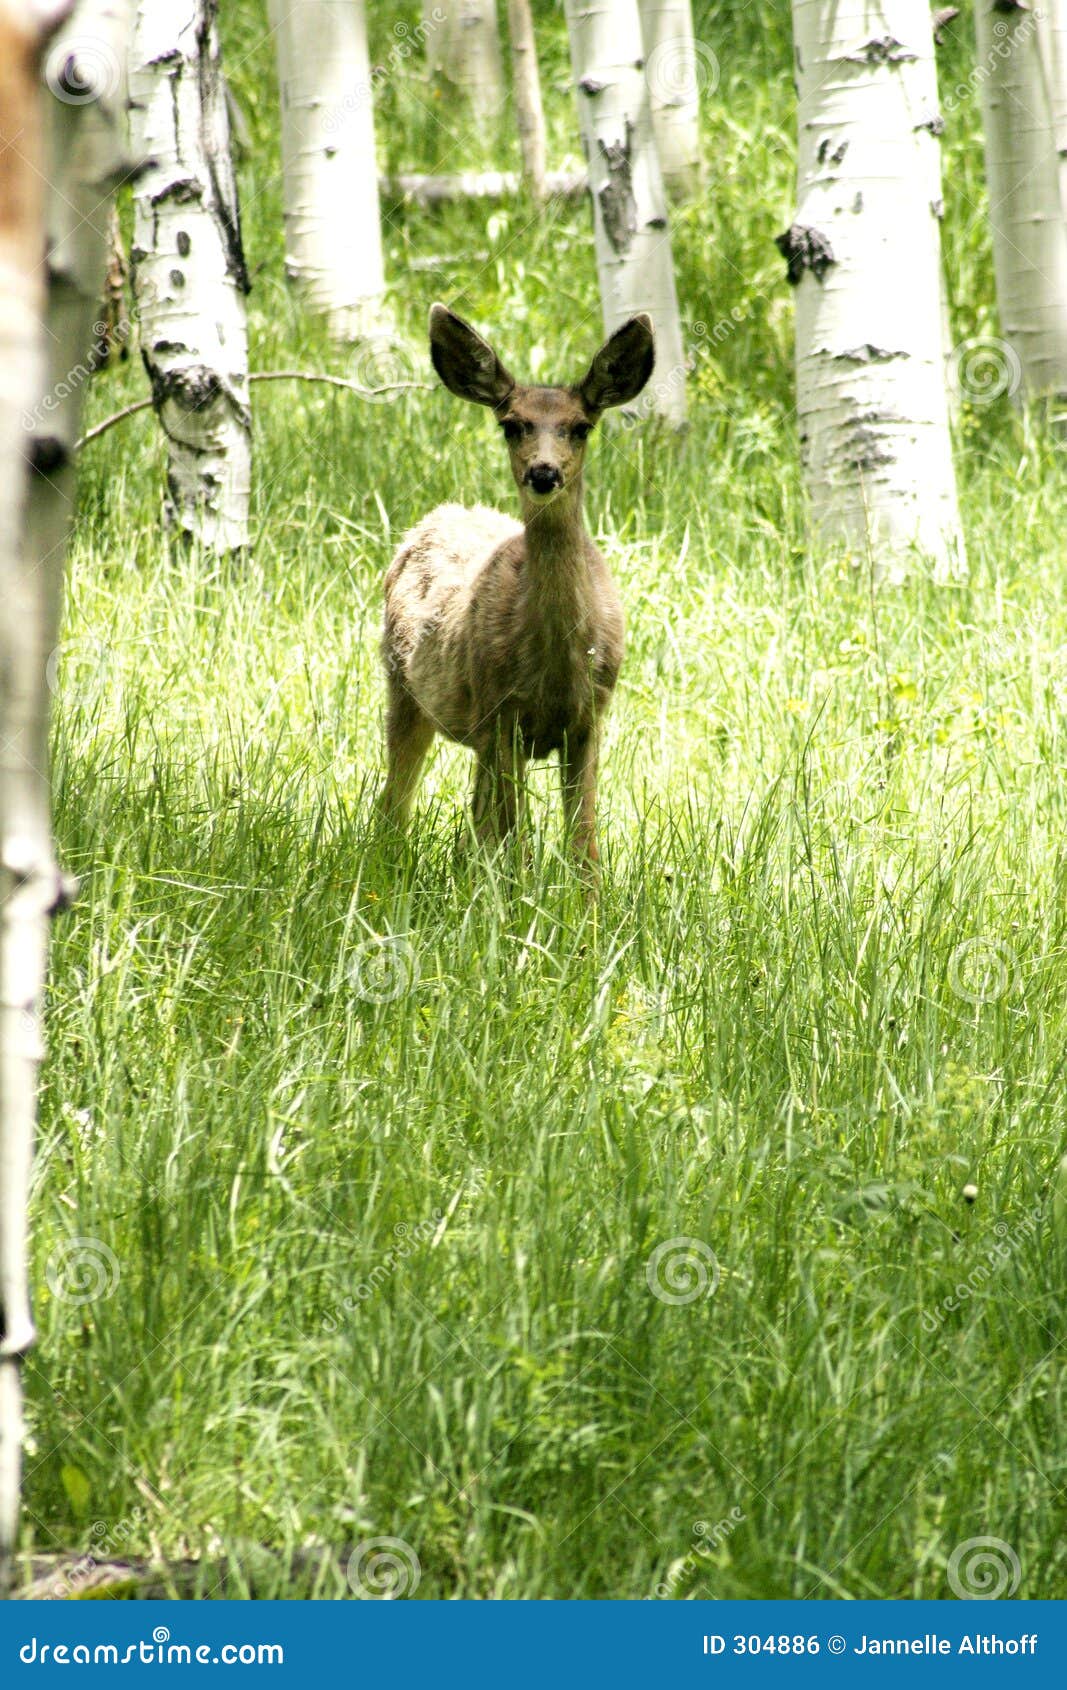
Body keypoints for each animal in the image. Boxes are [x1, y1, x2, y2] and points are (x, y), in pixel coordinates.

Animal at [379, 303, 654, 882]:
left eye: (580, 427)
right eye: (512, 425)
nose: (543, 472)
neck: (555, 667)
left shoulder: (589, 718)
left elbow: (584, 847)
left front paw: (585, 907)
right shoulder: (501, 715)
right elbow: (516, 845)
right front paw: (517, 902)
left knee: (473, 820)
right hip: (405, 688)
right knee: (397, 802)